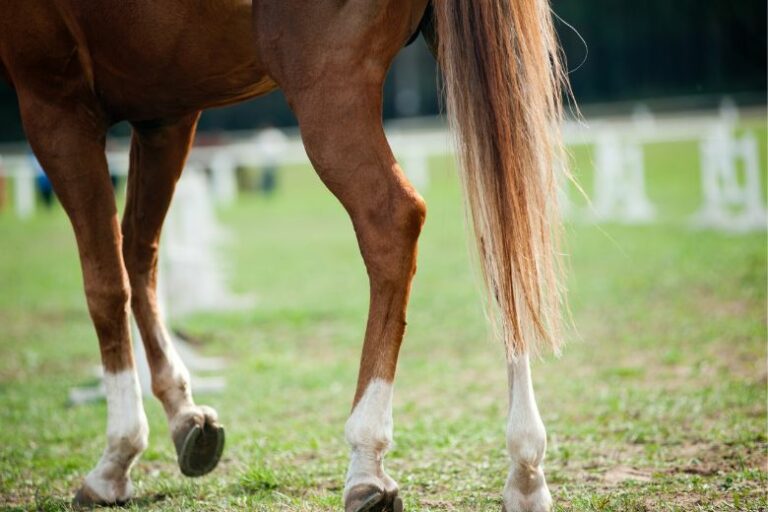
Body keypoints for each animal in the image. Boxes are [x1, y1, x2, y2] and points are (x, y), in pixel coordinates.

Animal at [0, 1, 566, 510]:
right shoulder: (164, 111)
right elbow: (140, 259)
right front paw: (185, 417)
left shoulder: (55, 103)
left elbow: (105, 282)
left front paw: (116, 456)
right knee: (501, 222)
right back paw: (525, 467)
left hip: (328, 89)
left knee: (392, 221)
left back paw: (366, 459)